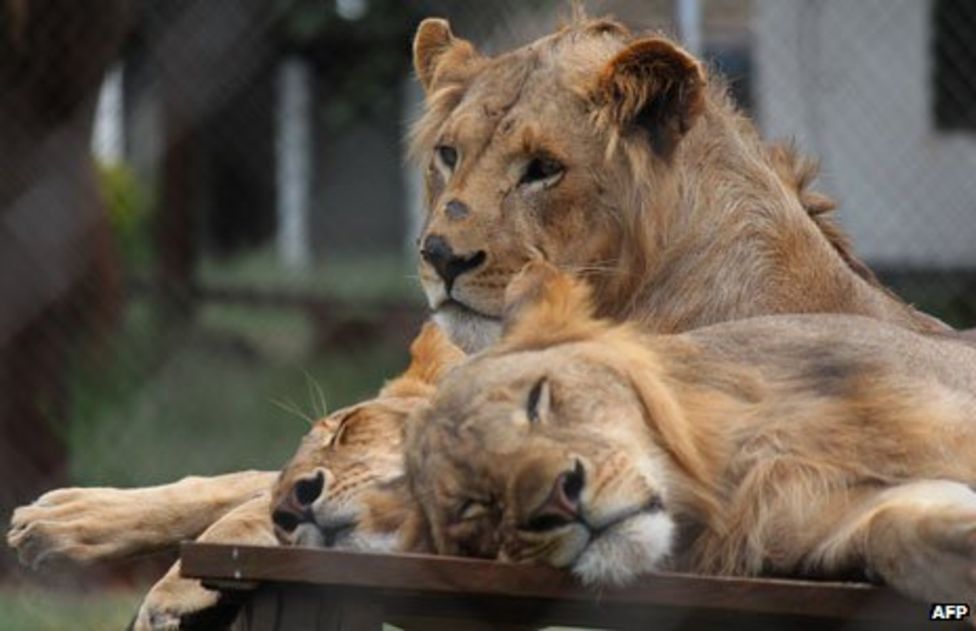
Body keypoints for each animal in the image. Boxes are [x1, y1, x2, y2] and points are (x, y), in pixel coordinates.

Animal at [5, 323, 462, 630]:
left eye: (347, 429)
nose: (296, 500)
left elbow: (255, 501)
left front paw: (170, 594)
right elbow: (247, 483)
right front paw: (62, 518)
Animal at [403, 261, 976, 604]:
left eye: (536, 400)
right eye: (474, 506)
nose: (557, 503)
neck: (723, 467)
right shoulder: (830, 516)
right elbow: (897, 532)